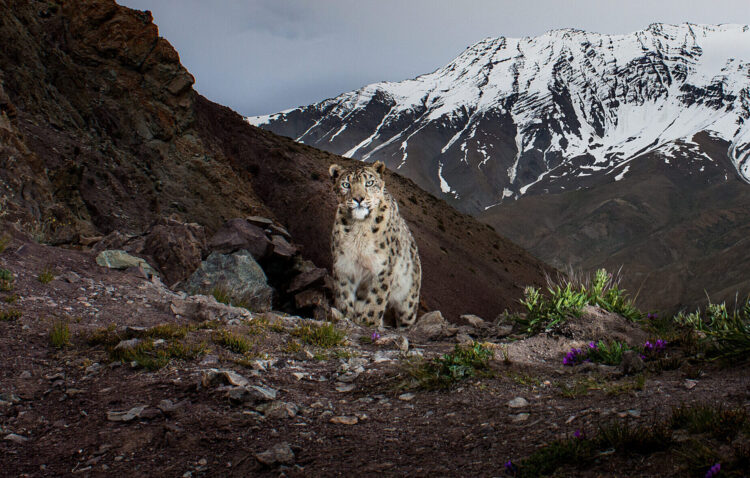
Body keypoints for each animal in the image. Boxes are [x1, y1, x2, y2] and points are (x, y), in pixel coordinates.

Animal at [328, 160, 421, 328]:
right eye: (346, 184)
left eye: (369, 183)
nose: (359, 198)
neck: (360, 229)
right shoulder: (343, 264)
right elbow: (343, 293)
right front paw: (346, 316)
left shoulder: (383, 267)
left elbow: (377, 297)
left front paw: (369, 321)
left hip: (409, 299)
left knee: (406, 317)